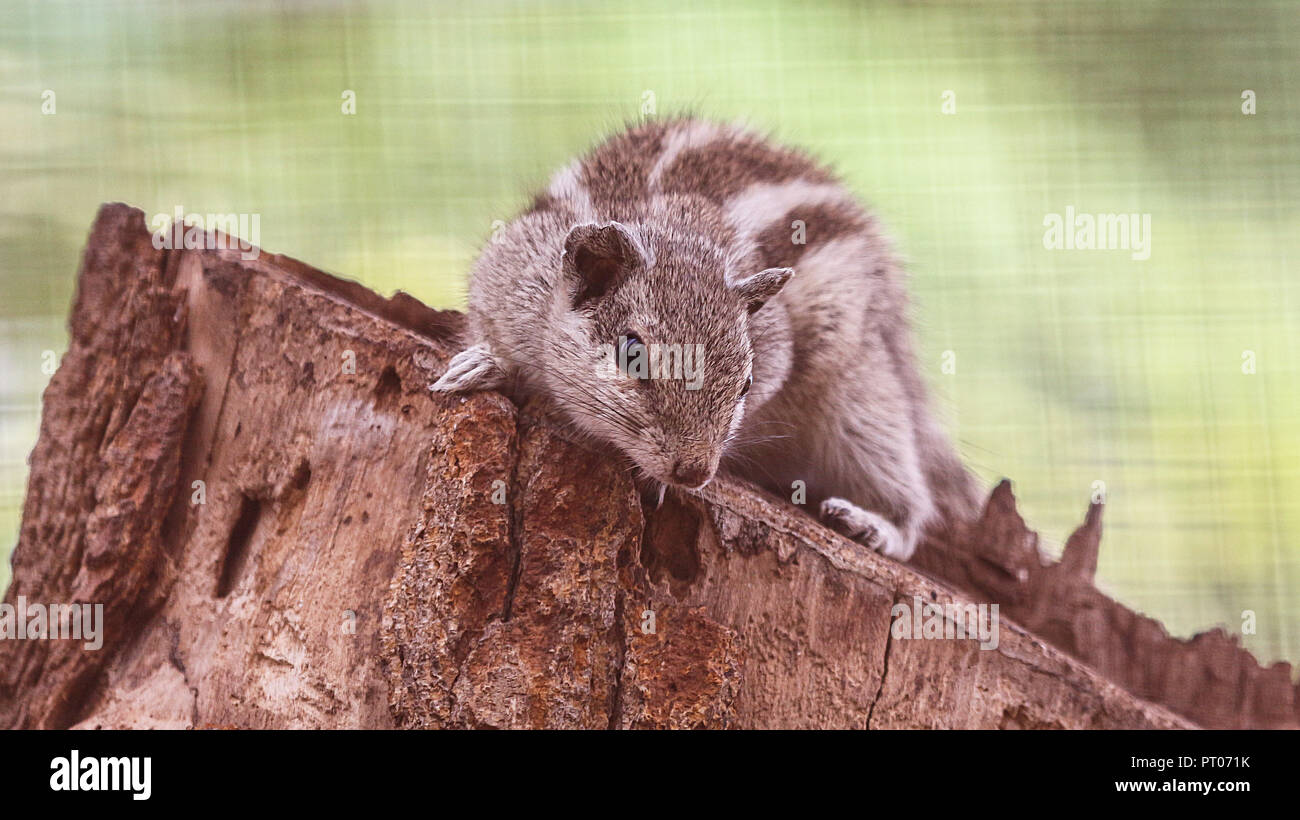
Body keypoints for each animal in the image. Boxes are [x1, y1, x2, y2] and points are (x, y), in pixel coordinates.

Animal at [431, 117, 982, 561]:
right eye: (632, 354)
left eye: (746, 384)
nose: (695, 472)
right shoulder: (505, 272)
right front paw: (482, 363)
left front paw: (653, 478)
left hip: (863, 401)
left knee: (908, 498)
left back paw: (876, 525)